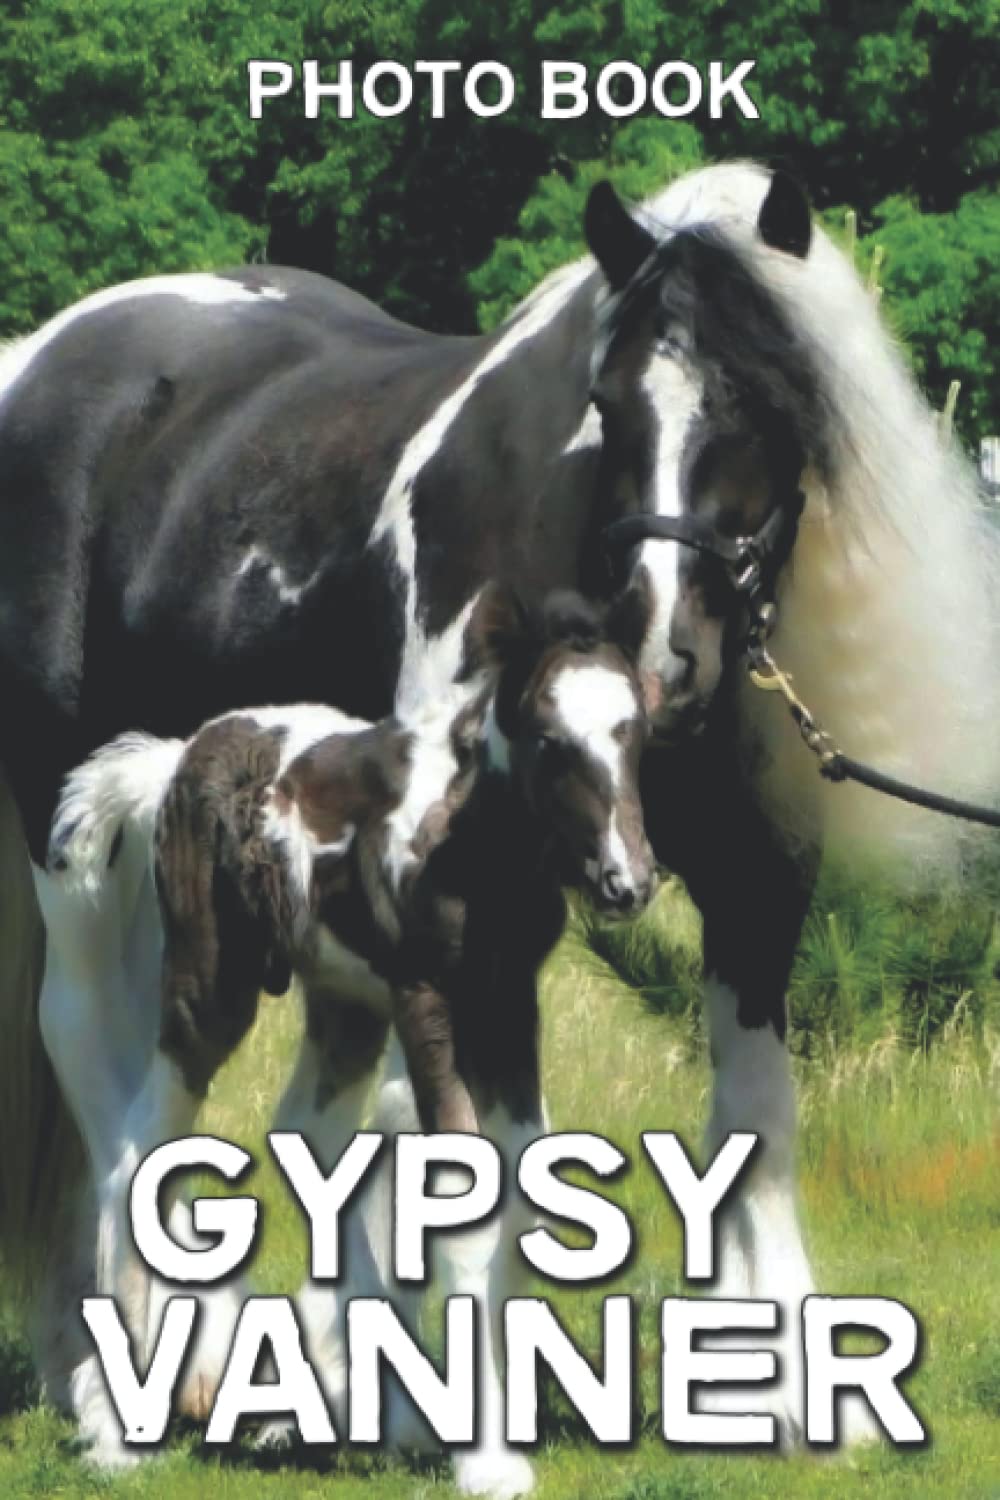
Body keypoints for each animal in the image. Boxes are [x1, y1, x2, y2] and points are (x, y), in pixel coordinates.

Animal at [39, 582, 653, 1485]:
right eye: (549, 740)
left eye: (634, 727)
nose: (627, 882)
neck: (474, 841)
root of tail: (174, 759)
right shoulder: (428, 998)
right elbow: (469, 1207)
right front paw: (488, 1463)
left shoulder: (509, 1003)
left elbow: (523, 1196)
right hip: (210, 987)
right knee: (134, 1152)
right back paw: (121, 1434)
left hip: (345, 1004)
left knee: (307, 1139)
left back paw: (352, 1410)